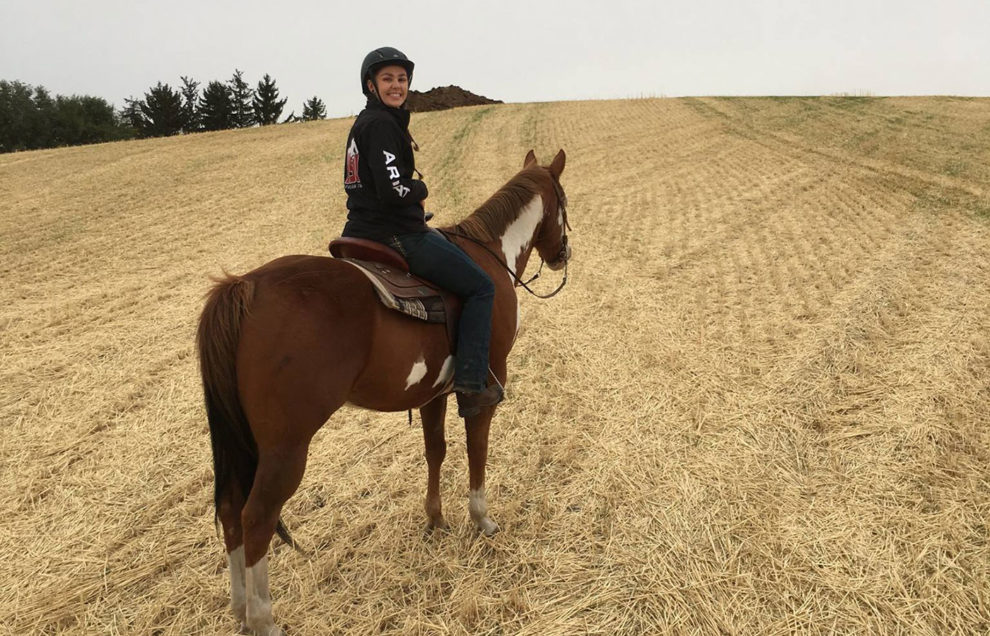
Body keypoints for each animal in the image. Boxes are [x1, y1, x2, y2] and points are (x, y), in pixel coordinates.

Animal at [196, 149, 570, 635]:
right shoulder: (487, 382)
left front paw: (435, 519)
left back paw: (241, 609)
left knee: (229, 509)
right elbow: (477, 447)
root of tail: (244, 286)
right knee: (256, 516)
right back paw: (262, 618)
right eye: (564, 200)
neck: (490, 251)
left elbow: (436, 451)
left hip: (245, 443)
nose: (564, 254)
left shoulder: (432, 393)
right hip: (285, 448)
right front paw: (481, 518)